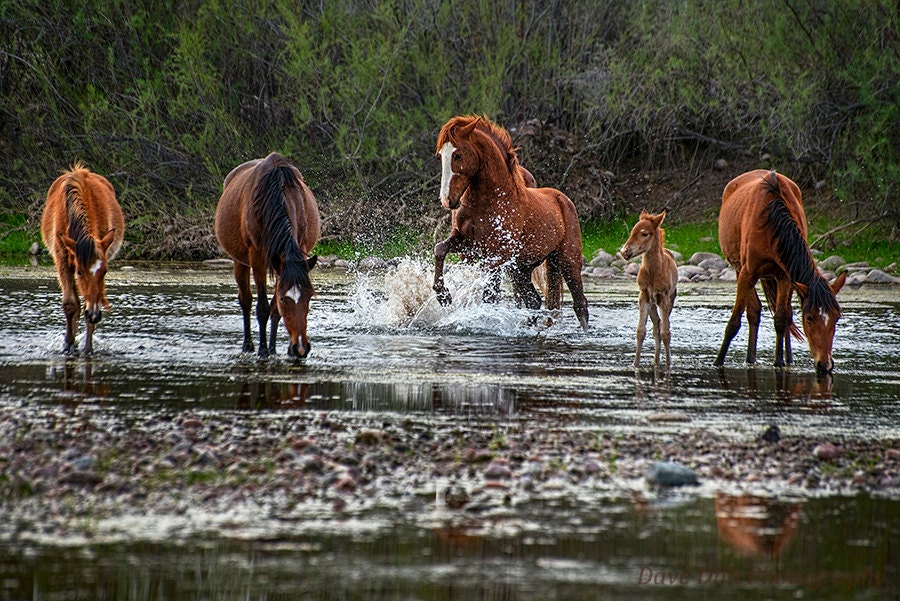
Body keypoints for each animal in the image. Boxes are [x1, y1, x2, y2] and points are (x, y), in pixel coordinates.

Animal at [41, 163, 125, 355]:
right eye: (79, 272)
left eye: (105, 271)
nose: (94, 315)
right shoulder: (62, 260)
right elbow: (71, 304)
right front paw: (68, 344)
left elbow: (91, 300)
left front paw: (87, 348)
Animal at [214, 152, 320, 358]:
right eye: (284, 299)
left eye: (309, 296)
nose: (301, 347)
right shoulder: (258, 257)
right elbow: (263, 307)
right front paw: (263, 350)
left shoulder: (292, 254)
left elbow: (274, 309)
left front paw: (276, 349)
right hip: (239, 261)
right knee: (245, 300)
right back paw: (248, 345)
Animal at [433, 115, 588, 330]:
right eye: (441, 156)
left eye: (458, 156)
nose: (447, 200)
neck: (488, 201)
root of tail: (563, 199)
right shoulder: (466, 245)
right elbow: (439, 249)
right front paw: (443, 295)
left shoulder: (498, 256)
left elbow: (489, 296)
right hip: (522, 268)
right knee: (533, 300)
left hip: (568, 260)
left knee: (580, 304)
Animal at [620, 210, 678, 367]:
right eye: (632, 231)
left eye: (644, 233)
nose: (625, 252)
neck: (652, 272)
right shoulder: (644, 296)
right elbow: (641, 331)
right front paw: (635, 363)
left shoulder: (663, 297)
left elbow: (666, 333)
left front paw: (669, 363)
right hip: (652, 304)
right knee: (655, 327)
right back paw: (656, 360)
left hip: (670, 300)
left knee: (662, 325)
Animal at [714, 169, 846, 374]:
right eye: (809, 318)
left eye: (836, 317)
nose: (825, 364)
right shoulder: (747, 273)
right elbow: (734, 322)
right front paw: (718, 361)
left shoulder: (785, 276)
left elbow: (781, 318)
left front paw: (779, 361)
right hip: (739, 269)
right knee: (754, 311)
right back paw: (750, 358)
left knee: (784, 314)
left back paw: (786, 359)